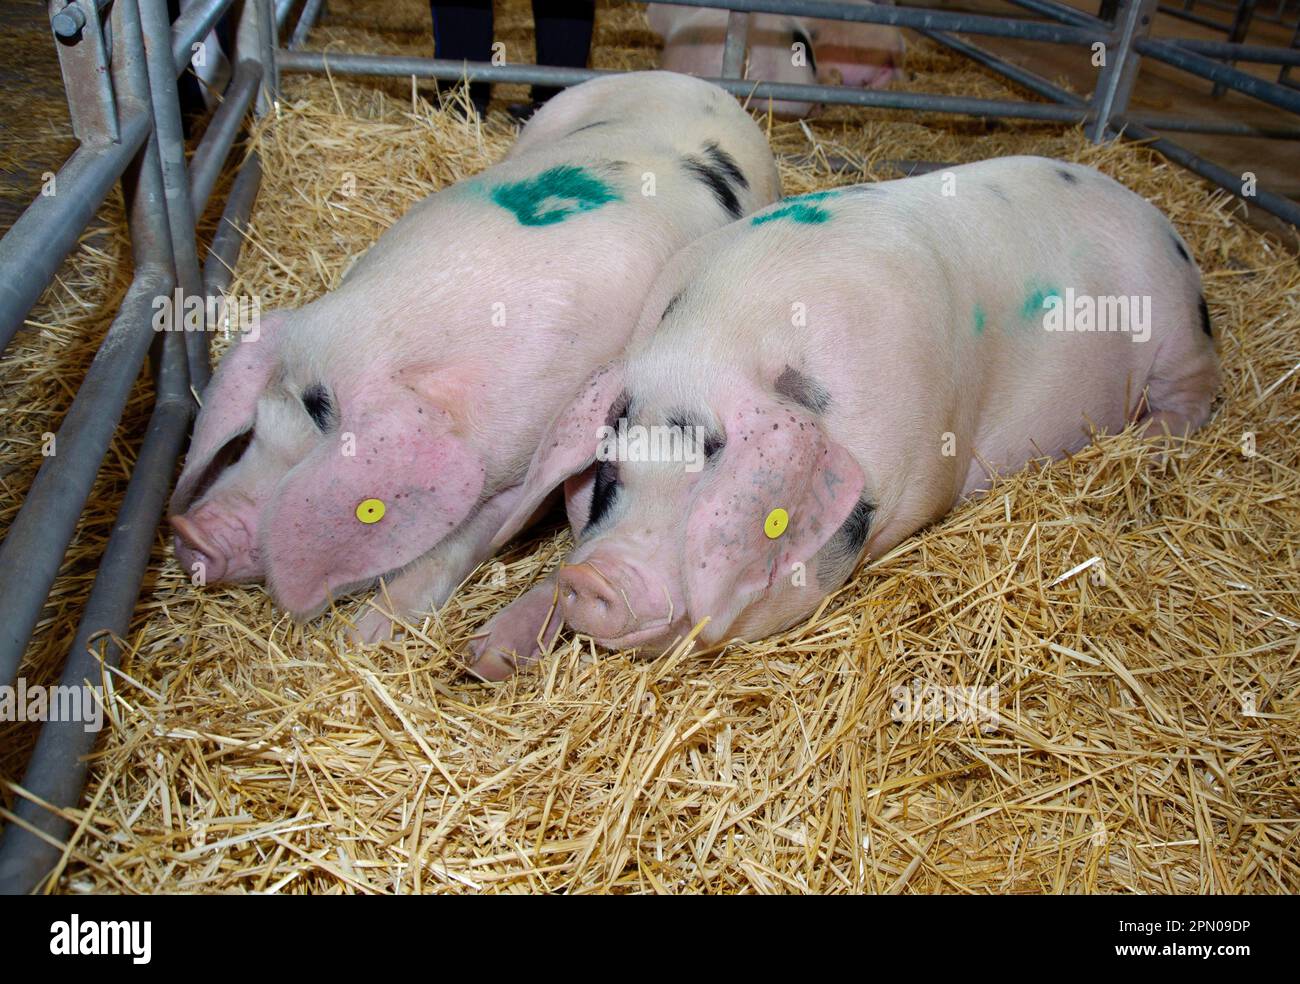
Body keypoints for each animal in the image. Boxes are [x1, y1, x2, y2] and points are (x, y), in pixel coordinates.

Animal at [168, 70, 781, 641]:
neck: (402, 324)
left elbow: (464, 540)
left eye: (314, 447)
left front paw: (364, 633)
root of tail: (702, 85)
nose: (192, 534)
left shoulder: (529, 448)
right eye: (256, 428)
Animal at [468, 156, 1218, 679]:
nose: (593, 579)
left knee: (1197, 399)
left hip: (1178, 335)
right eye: (606, 477)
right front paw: (486, 657)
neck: (720, 341)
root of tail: (1160, 220)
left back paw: (1147, 441)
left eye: (708, 477)